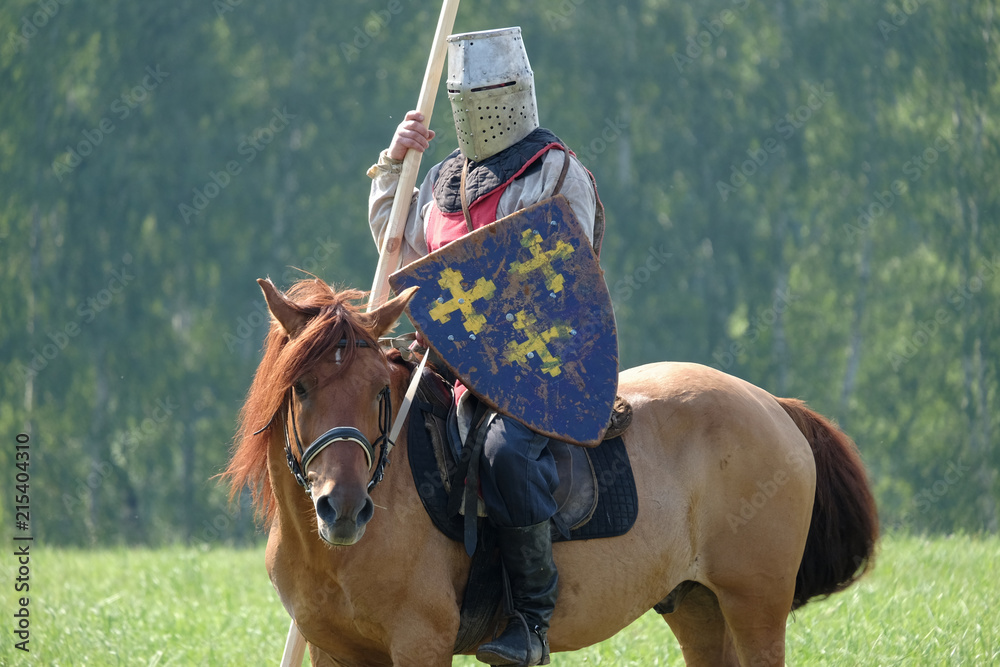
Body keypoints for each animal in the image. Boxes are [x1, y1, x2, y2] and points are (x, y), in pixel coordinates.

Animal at [223, 277, 878, 667]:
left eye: (377, 391)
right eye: (301, 388)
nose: (345, 508)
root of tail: (774, 406)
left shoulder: (420, 641)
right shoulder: (335, 649)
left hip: (755, 608)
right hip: (699, 608)